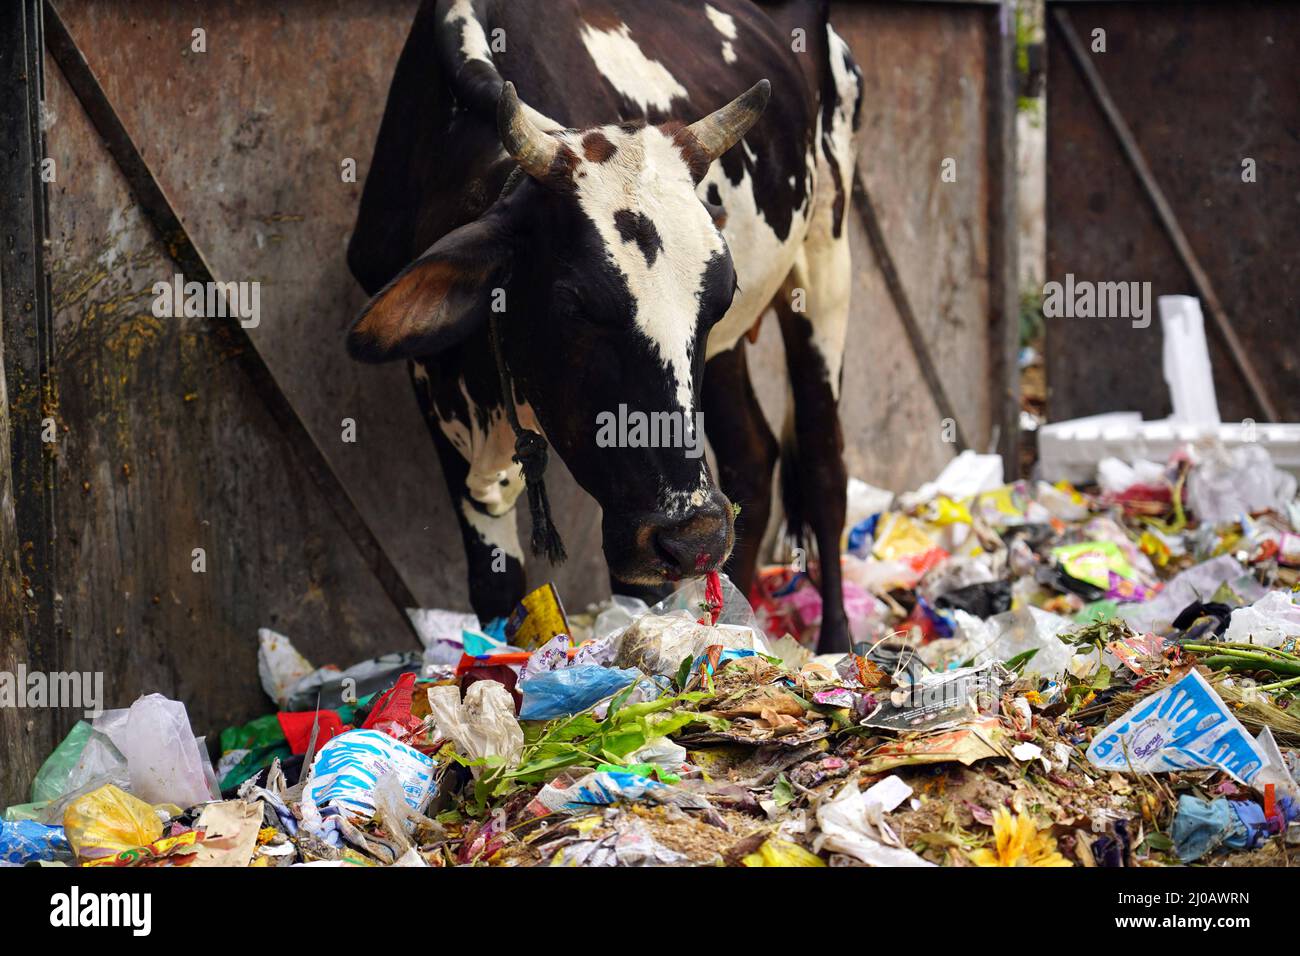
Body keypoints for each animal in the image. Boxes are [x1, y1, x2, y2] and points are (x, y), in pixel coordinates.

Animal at [346, 0, 863, 652]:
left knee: (822, 462)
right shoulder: (432, 393)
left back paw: (836, 645)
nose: (696, 539)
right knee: (752, 454)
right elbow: (495, 585)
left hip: (827, 253)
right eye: (576, 305)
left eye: (719, 300)